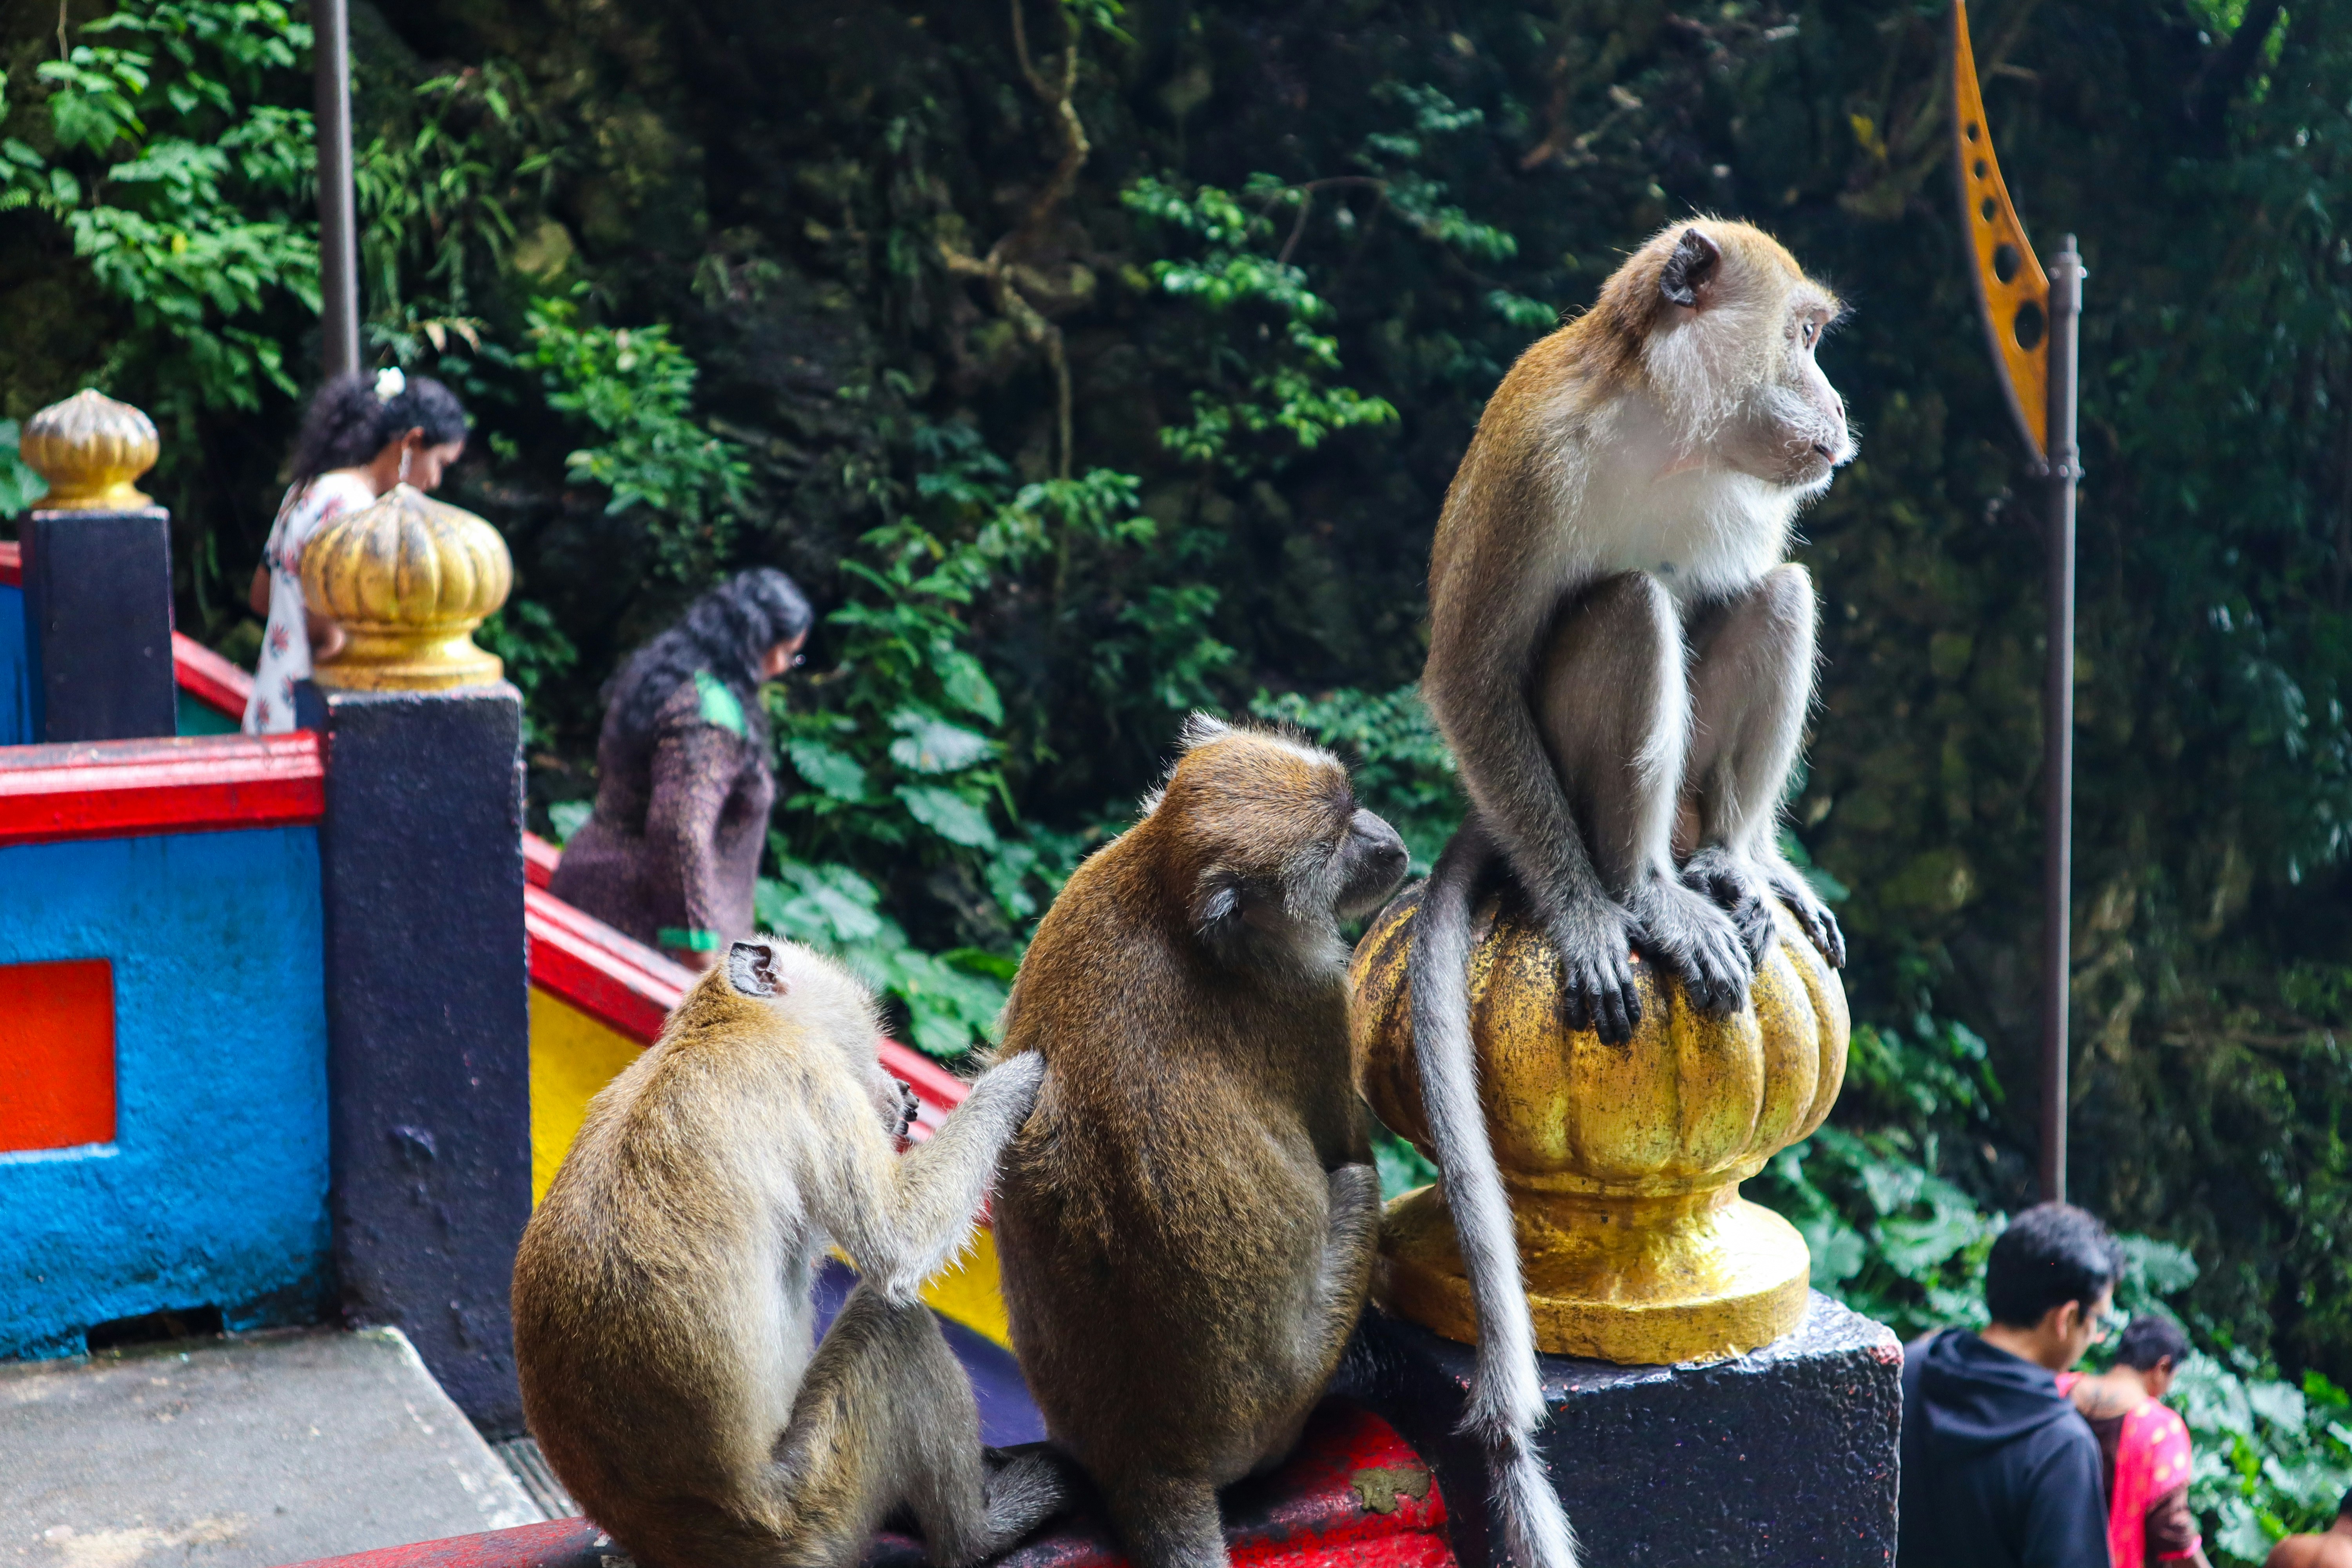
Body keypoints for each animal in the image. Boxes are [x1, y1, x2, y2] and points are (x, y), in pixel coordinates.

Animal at [511, 937, 1066, 1568]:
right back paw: (977, 1535)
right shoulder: (806, 1074)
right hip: (815, 1500)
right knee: (890, 1324)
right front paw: (1017, 1077)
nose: (904, 1095)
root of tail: (687, 1539)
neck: (718, 1028)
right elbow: (897, 1241)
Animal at [988, 716, 1411, 1568]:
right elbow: (1347, 1149)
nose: (1388, 841)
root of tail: (1146, 1455)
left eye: (1351, 803)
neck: (1162, 884)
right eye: (1337, 843)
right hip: (1286, 1403)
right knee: (1356, 1184)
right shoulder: (1310, 995)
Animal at [1405, 219, 1858, 1568]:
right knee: (1630, 607)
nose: (1837, 407)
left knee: (1768, 593)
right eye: (1802, 337)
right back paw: (1643, 890)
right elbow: (1474, 672)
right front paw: (1589, 914)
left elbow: (1754, 582)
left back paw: (1730, 864)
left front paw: (1761, 860)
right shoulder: (1534, 461)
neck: (1669, 425)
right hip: (1553, 795)